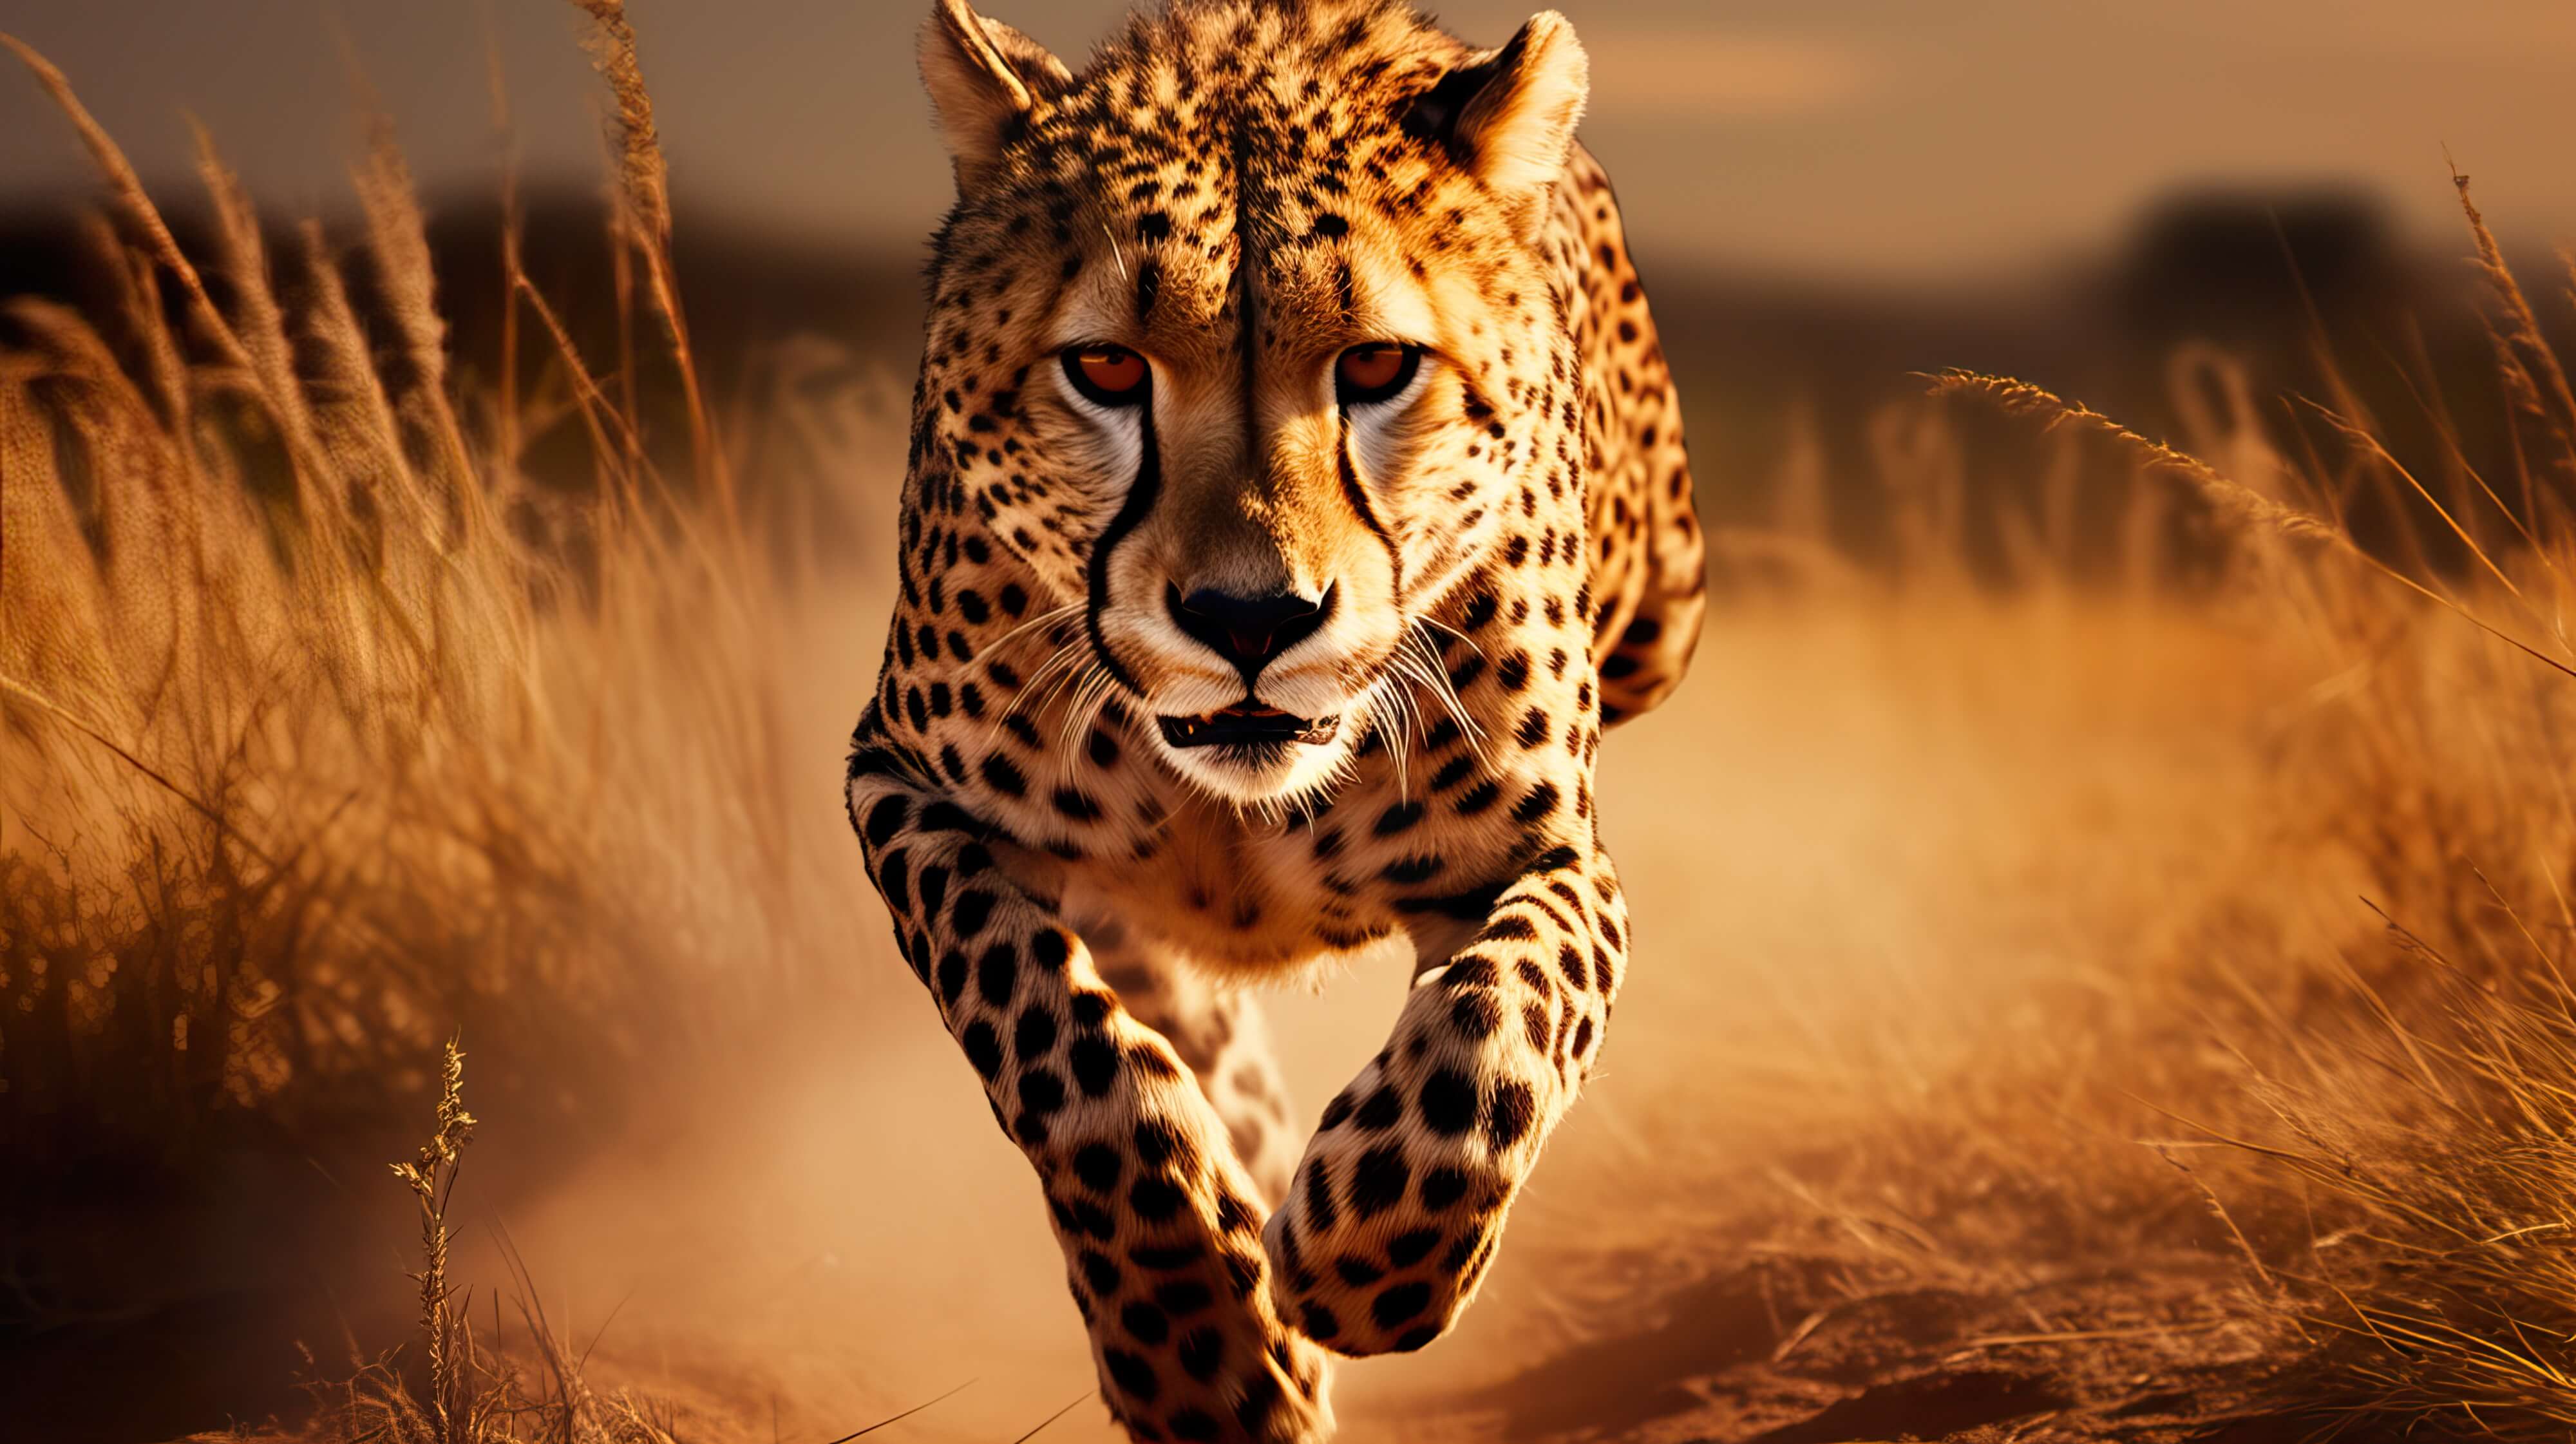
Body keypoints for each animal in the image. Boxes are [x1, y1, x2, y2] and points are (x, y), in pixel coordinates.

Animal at [841, 1, 1705, 1438]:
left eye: (1376, 366)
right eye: (1103, 368)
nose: (1250, 619)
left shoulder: (1540, 853)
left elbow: (1501, 1027)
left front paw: (1369, 1259)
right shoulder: (902, 783)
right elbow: (1051, 1036)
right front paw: (1204, 1342)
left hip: (1664, 619)